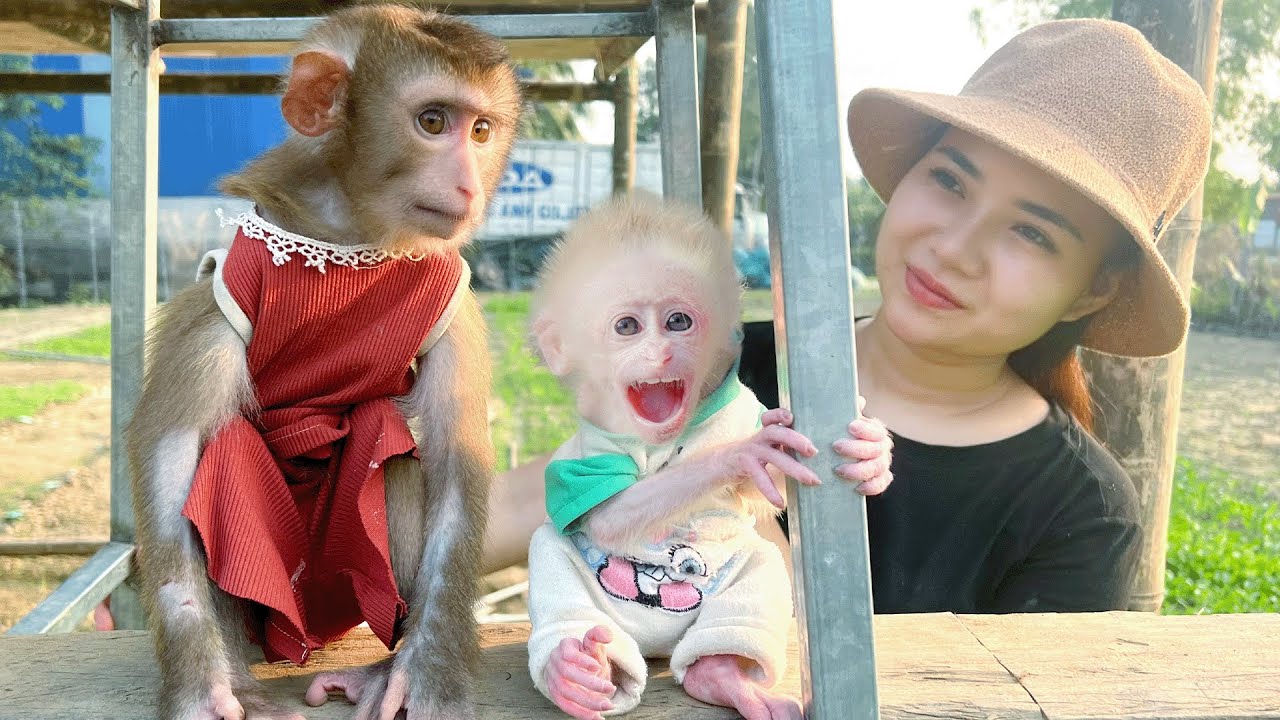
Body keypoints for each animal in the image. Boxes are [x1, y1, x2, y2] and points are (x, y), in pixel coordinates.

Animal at [124, 6, 522, 720]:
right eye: (432, 122)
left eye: (481, 130)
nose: (470, 183)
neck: (350, 243)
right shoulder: (225, 293)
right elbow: (170, 446)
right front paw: (205, 688)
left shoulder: (456, 303)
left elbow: (457, 453)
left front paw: (425, 671)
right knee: (220, 445)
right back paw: (239, 664)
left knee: (392, 450)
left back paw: (383, 661)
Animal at [522, 192, 894, 720]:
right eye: (627, 327)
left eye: (678, 321)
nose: (661, 353)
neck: (657, 441)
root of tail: (656, 648)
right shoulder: (575, 468)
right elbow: (612, 514)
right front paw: (738, 456)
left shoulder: (747, 409)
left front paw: (872, 452)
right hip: (588, 596)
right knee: (553, 561)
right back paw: (573, 669)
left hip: (733, 595)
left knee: (754, 586)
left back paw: (724, 676)